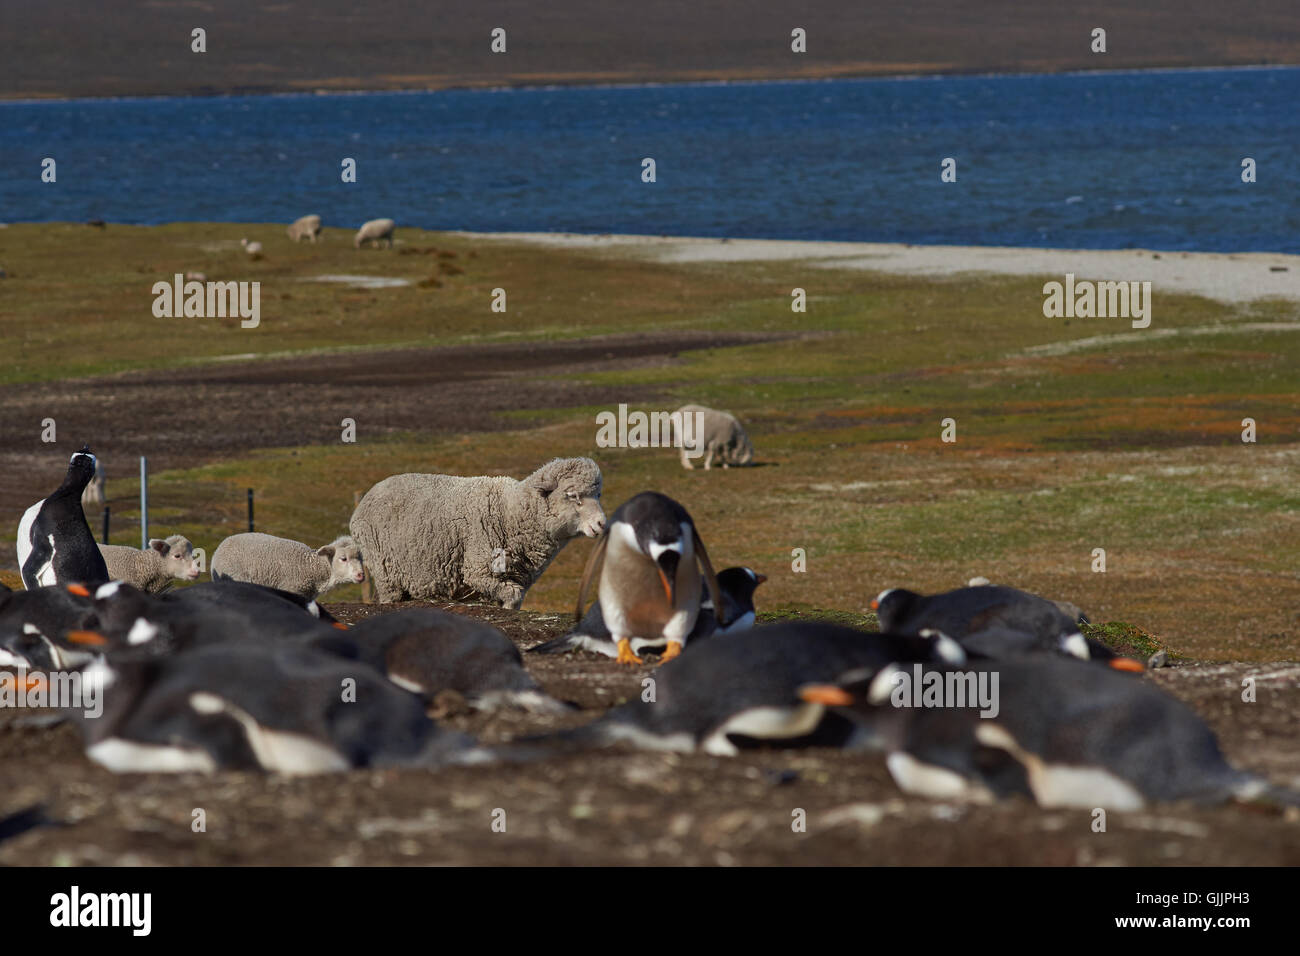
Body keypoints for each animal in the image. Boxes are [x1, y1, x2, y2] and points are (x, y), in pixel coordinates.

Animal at [350, 457, 605, 607]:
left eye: (598, 494)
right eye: (572, 495)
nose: (602, 523)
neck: (510, 512)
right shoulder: (477, 571)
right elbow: (513, 595)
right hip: (385, 572)